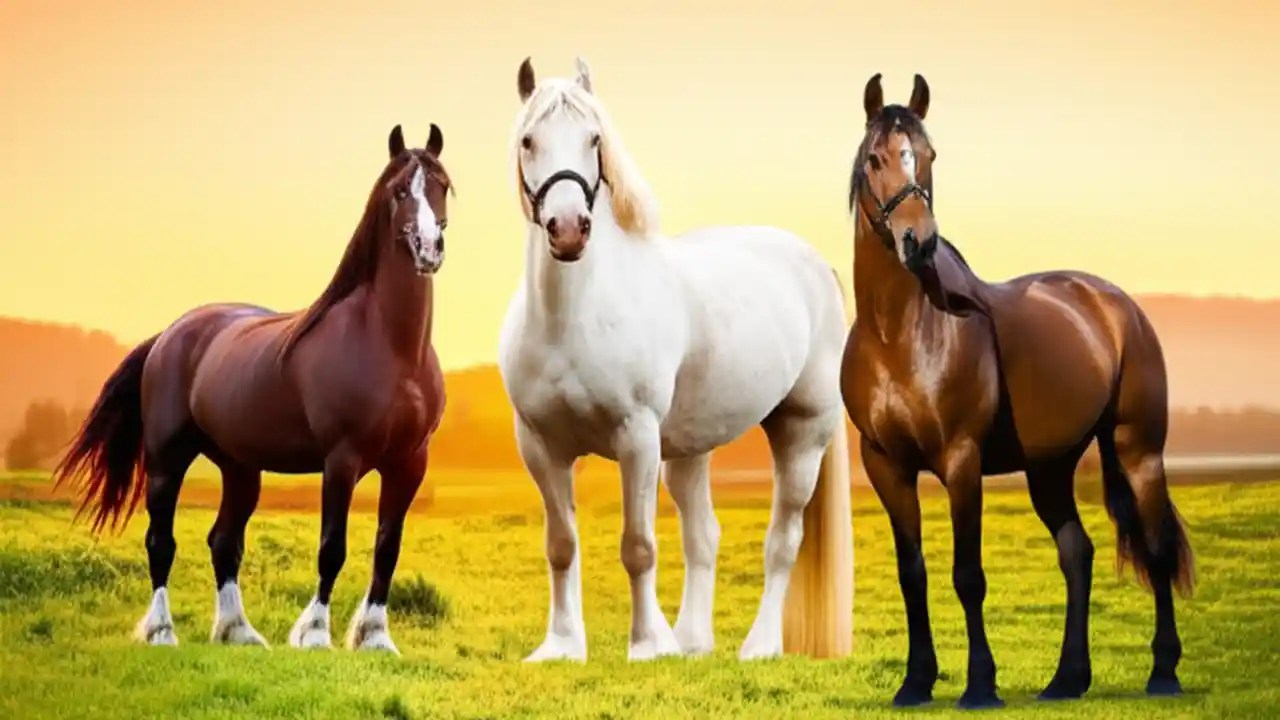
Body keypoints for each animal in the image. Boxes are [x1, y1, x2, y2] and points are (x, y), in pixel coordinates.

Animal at [53, 124, 452, 656]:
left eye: (442, 185)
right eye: (399, 191)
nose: (430, 247)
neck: (391, 346)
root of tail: (168, 335)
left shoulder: (409, 463)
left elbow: (387, 548)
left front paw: (375, 638)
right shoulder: (341, 460)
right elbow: (332, 548)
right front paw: (315, 633)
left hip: (240, 468)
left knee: (224, 542)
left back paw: (237, 631)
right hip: (166, 460)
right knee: (161, 541)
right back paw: (162, 632)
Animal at [497, 57, 854, 663]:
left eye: (595, 138)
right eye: (528, 140)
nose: (567, 229)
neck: (573, 319)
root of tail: (815, 263)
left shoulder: (636, 437)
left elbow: (638, 545)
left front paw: (646, 644)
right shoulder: (540, 445)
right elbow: (561, 545)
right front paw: (562, 646)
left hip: (802, 433)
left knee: (783, 541)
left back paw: (759, 646)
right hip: (688, 450)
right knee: (703, 535)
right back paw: (691, 643)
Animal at [840, 73, 1194, 708]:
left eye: (928, 155)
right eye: (876, 157)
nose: (918, 242)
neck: (900, 334)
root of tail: (1116, 303)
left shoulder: (961, 460)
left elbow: (968, 575)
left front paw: (980, 685)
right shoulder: (885, 465)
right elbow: (913, 574)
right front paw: (915, 682)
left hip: (1138, 451)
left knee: (1155, 549)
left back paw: (1163, 673)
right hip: (1049, 466)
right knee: (1077, 551)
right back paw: (1067, 679)